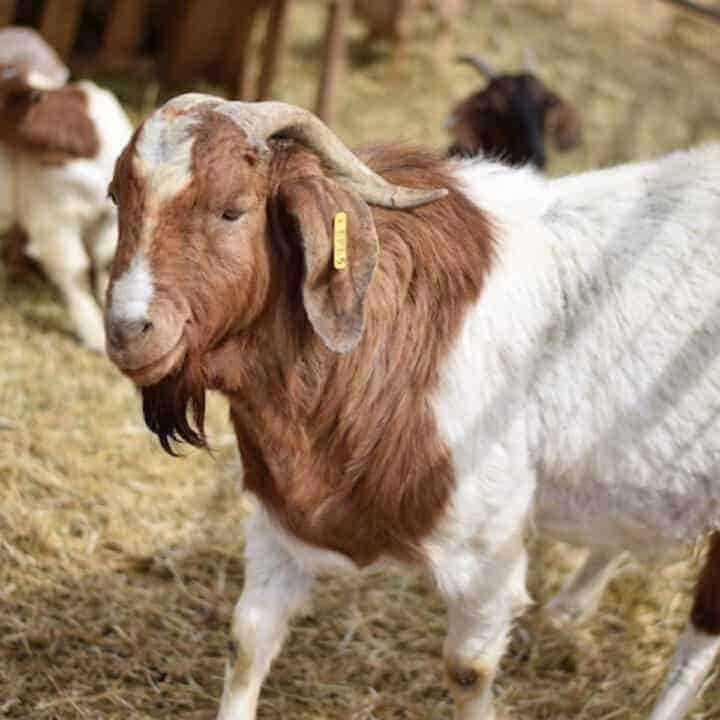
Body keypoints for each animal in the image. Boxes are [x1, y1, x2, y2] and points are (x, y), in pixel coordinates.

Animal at [104, 93, 720, 720]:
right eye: (116, 198)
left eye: (233, 210)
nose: (128, 330)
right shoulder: (281, 521)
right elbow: (248, 638)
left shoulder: (487, 551)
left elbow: (468, 670)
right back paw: (569, 608)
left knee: (699, 637)